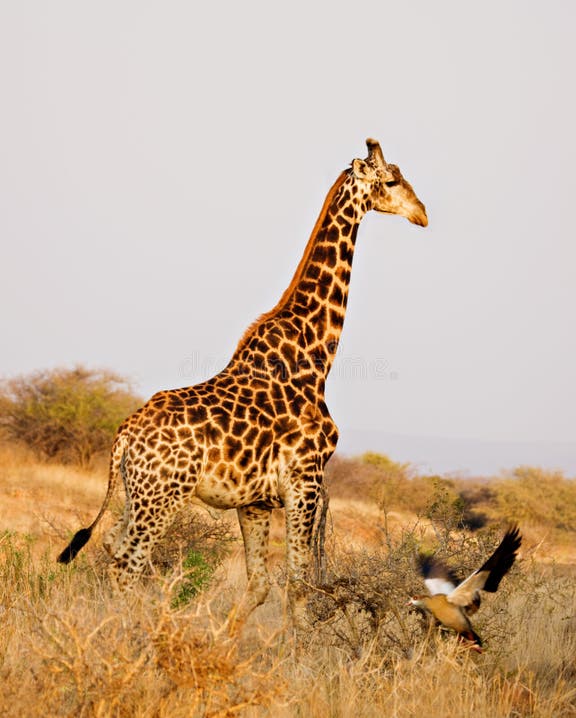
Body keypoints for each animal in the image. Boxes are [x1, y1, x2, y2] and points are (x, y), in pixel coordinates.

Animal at [58, 138, 427, 624]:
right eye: (392, 180)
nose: (422, 213)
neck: (316, 355)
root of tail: (124, 437)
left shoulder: (256, 500)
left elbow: (260, 585)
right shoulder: (306, 481)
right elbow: (299, 584)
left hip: (135, 493)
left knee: (109, 545)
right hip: (163, 495)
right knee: (127, 564)